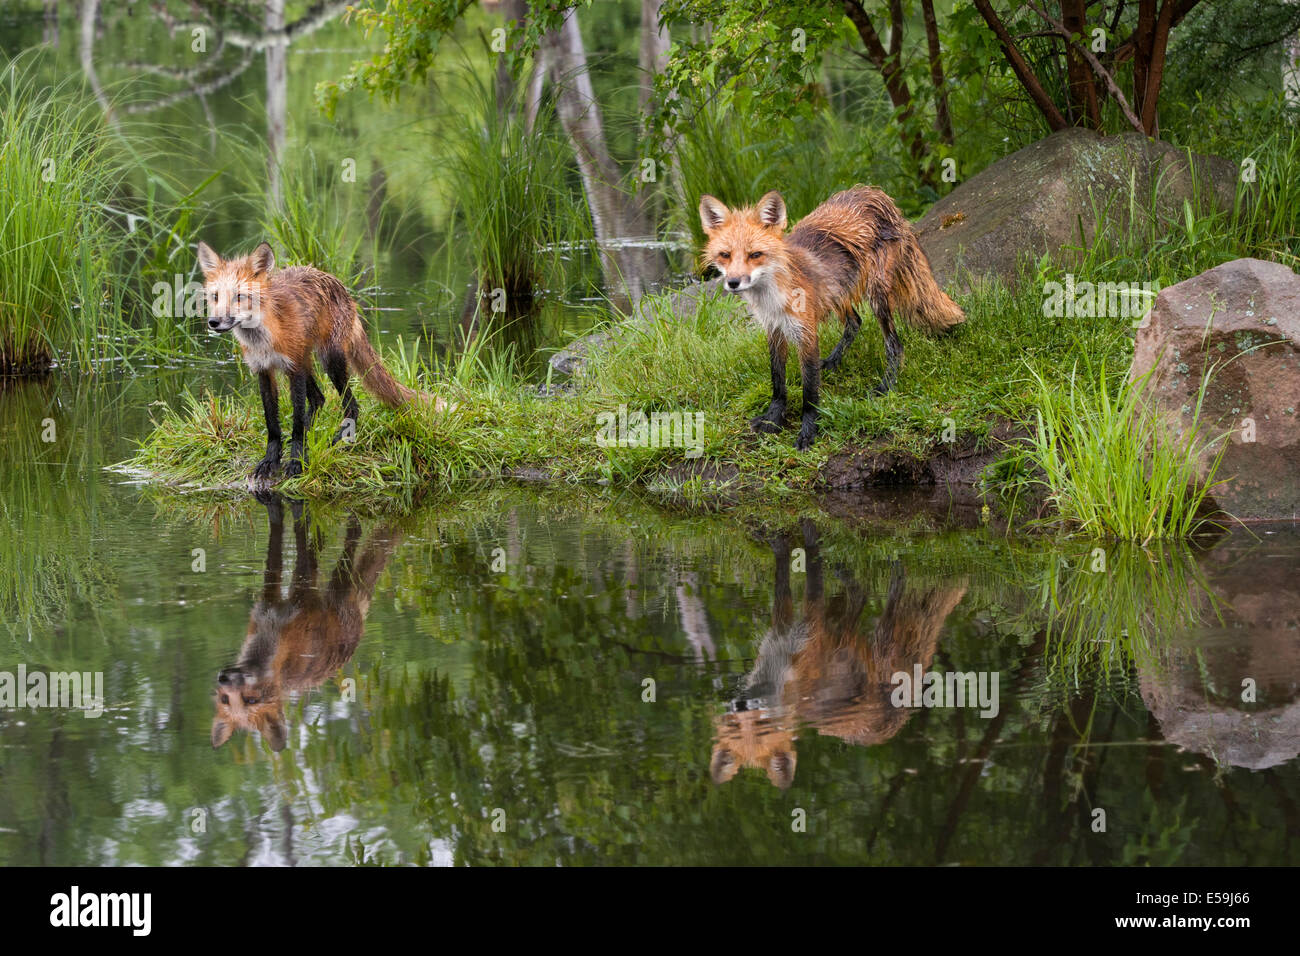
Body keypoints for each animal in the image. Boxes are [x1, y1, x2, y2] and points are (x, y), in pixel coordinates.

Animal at [196, 241, 449, 483]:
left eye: (239, 296)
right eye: (215, 296)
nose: (214, 322)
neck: (266, 338)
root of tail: (342, 289)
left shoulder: (294, 369)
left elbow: (297, 423)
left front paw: (296, 461)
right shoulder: (264, 370)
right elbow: (272, 425)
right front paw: (271, 460)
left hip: (330, 360)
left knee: (351, 405)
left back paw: (340, 437)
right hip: (309, 362)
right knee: (319, 399)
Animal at [211, 495, 401, 751]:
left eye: (251, 699)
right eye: (225, 699)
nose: (223, 677)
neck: (272, 638)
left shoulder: (302, 600)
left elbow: (301, 549)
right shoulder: (267, 605)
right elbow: (278, 544)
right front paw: (274, 508)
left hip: (340, 587)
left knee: (352, 540)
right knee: (320, 544)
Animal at [698, 186, 965, 450]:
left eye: (755, 254)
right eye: (725, 255)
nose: (733, 282)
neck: (773, 299)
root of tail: (873, 193)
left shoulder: (806, 334)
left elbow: (809, 392)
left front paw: (808, 432)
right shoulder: (774, 331)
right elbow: (778, 382)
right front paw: (773, 419)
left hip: (876, 294)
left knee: (894, 346)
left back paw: (886, 385)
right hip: (838, 290)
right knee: (855, 322)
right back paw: (834, 361)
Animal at [710, 521, 966, 789]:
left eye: (763, 725)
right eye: (736, 727)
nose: (741, 705)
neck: (780, 674)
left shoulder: (812, 626)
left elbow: (812, 567)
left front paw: (805, 534)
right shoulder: (781, 629)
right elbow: (783, 574)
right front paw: (779, 543)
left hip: (882, 644)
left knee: (887, 597)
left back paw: (890, 575)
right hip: (847, 644)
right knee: (859, 595)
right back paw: (843, 572)